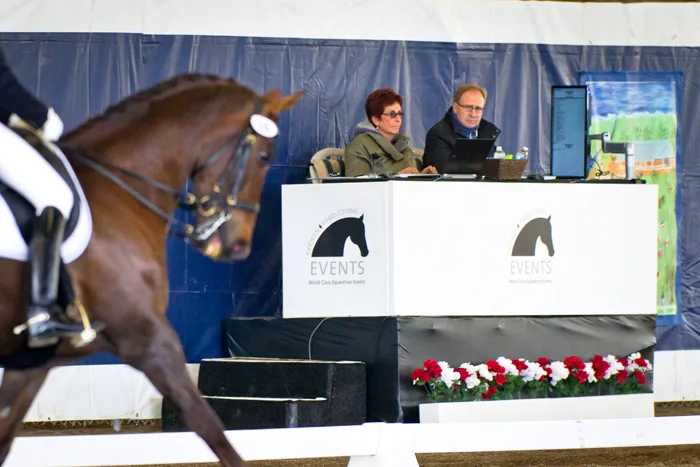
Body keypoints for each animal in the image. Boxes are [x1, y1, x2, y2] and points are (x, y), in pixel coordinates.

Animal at [0, 73, 303, 467]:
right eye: (264, 157)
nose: (240, 246)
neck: (118, 190)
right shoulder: (148, 336)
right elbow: (209, 426)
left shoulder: (32, 362)